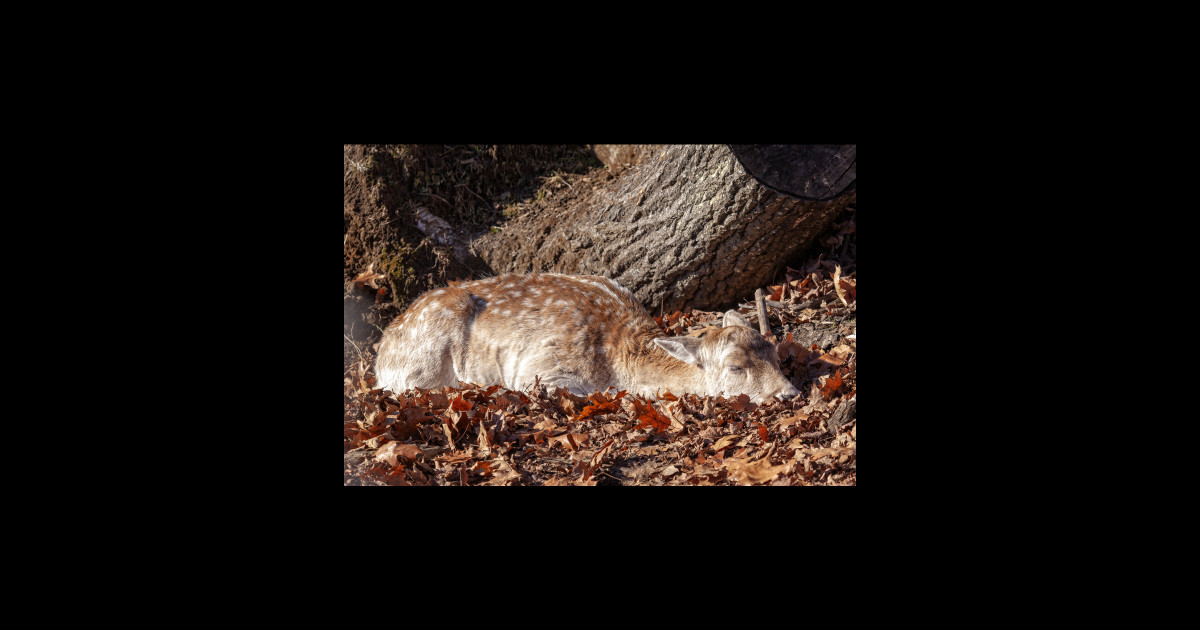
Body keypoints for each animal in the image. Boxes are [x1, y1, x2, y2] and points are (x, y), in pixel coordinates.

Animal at [374, 273, 800, 403]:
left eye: (775, 353)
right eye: (736, 367)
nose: (789, 393)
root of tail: (378, 358)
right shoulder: (542, 373)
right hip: (423, 360)